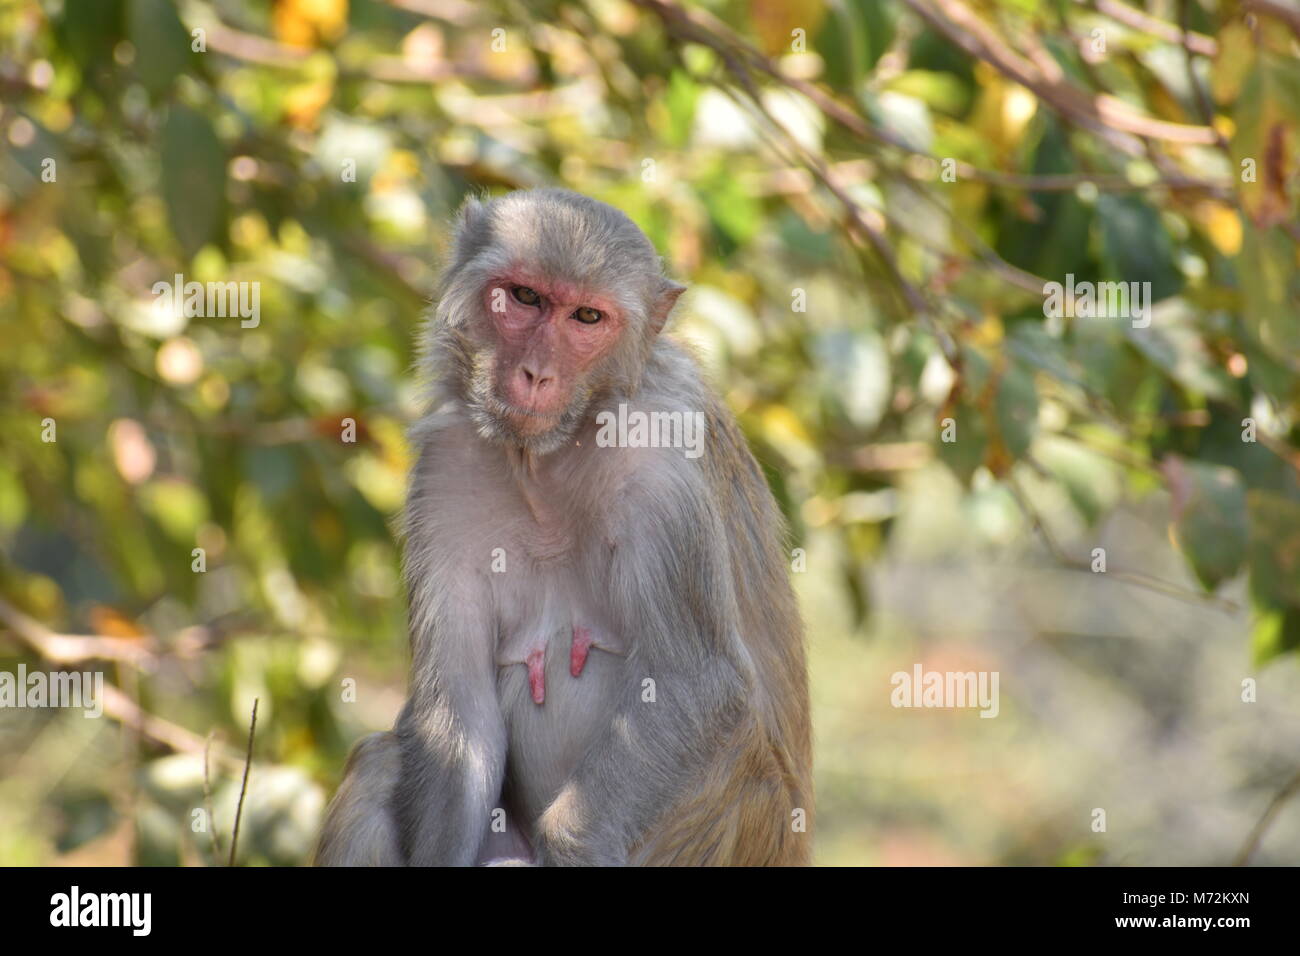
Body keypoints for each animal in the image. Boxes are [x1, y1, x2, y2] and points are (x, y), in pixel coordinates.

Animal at [315, 188, 811, 866]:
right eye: (525, 297)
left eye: (587, 317)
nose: (535, 374)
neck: (551, 454)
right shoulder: (448, 466)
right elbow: (459, 716)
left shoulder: (660, 466)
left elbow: (695, 681)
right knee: (381, 761)